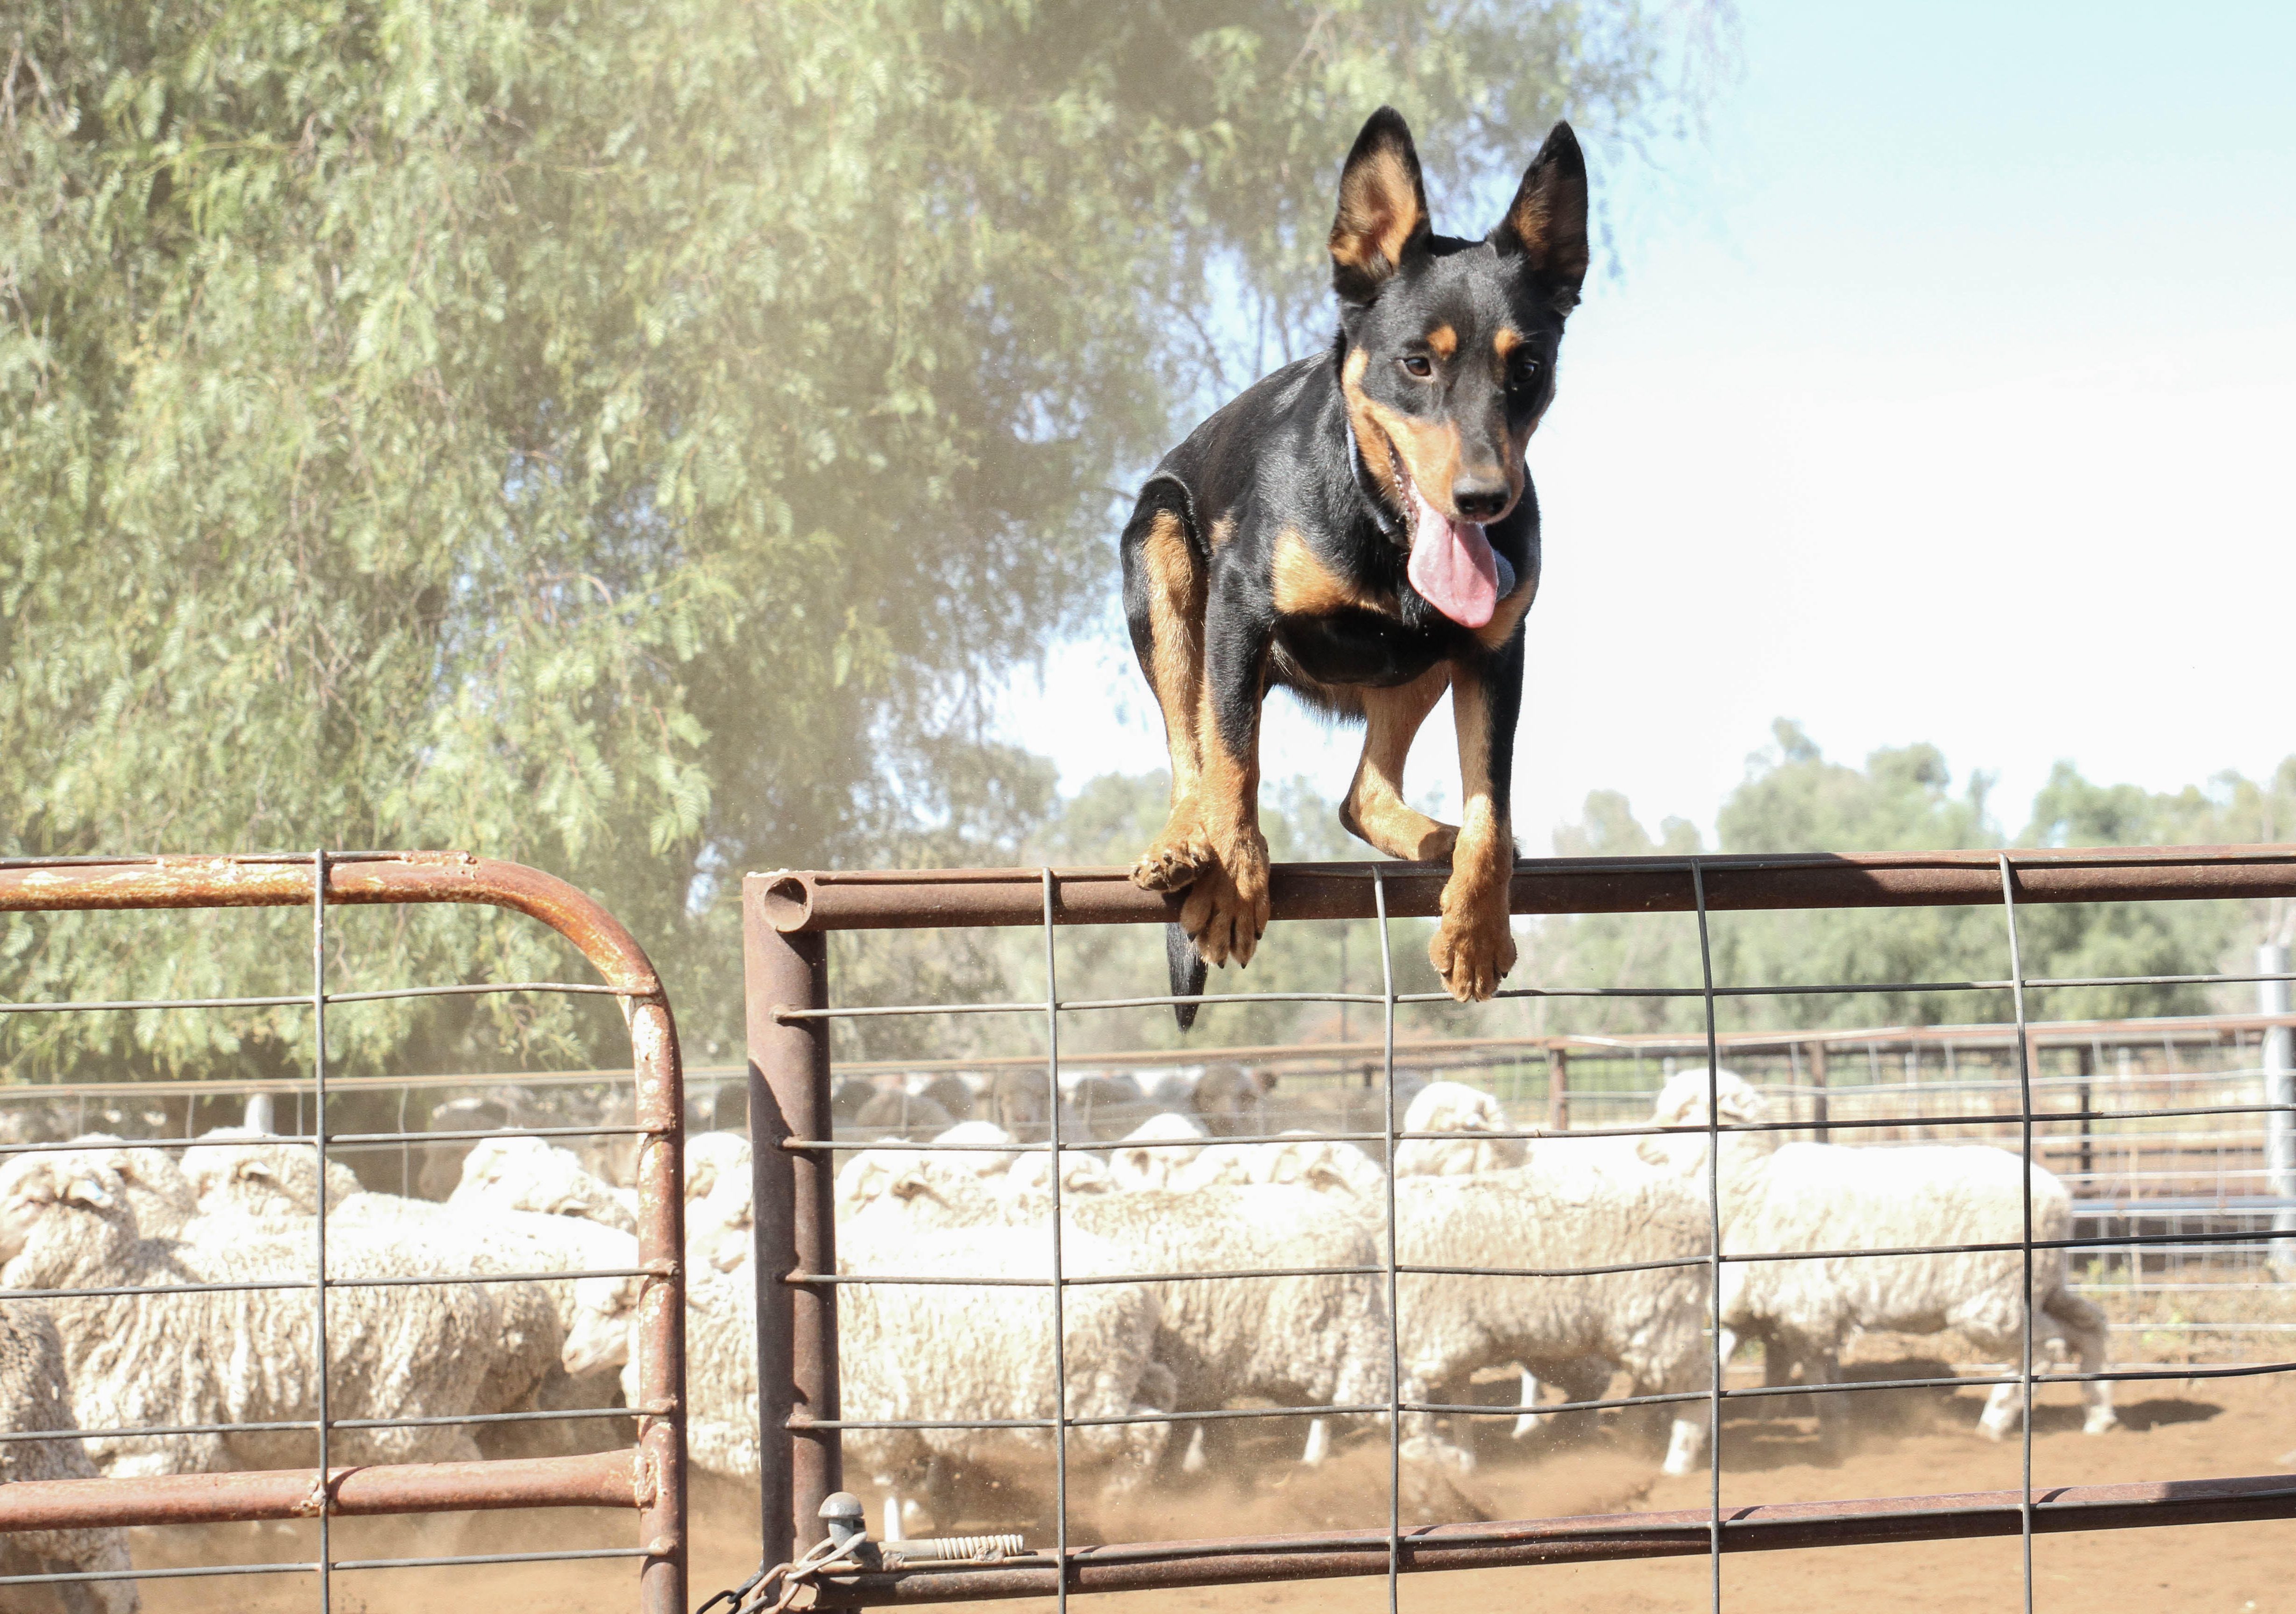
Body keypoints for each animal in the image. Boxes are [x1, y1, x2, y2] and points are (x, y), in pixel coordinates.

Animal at [1643, 1067, 2117, 1443]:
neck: (1749, 1183)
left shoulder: (1807, 1310)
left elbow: (1815, 1378)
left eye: (1684, 1114)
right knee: (2089, 1327)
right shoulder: (1767, 1311)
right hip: (2040, 1286)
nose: (1643, 1148)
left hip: (1991, 1301)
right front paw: (1765, 1418)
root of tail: (2058, 1198)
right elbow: (1767, 1371)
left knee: (2044, 1349)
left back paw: (1995, 1423)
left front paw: (1834, 1433)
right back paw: (2099, 1416)